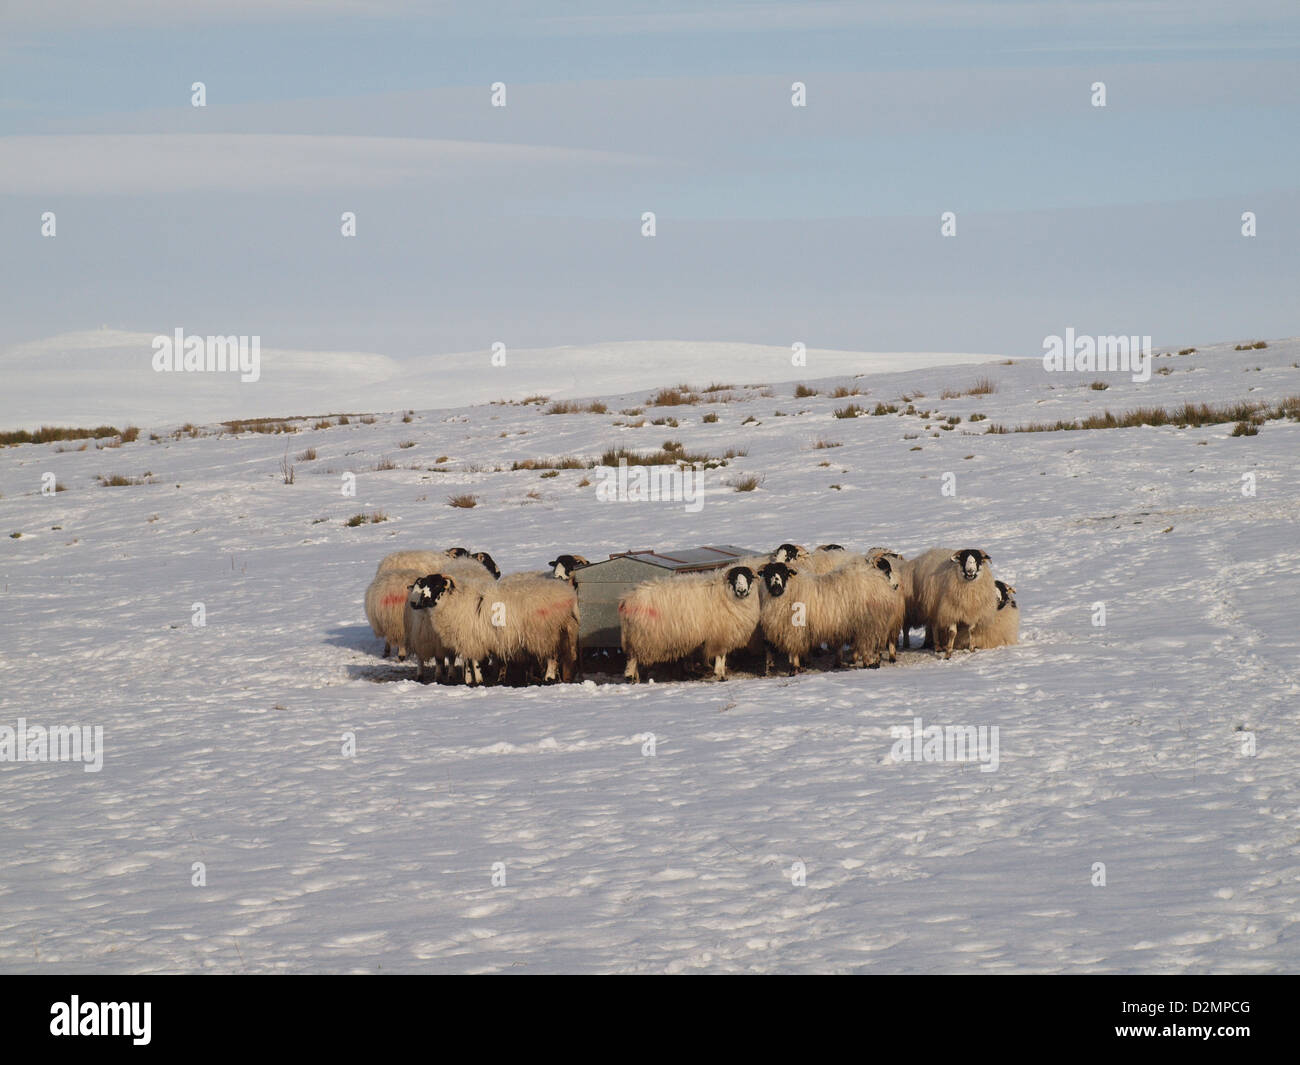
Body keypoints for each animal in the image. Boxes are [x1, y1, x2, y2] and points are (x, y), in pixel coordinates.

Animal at [424, 571, 578, 685]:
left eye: (437, 585)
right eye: (424, 585)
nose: (424, 601)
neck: (454, 600)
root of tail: (568, 594)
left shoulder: (472, 638)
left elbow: (474, 661)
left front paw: (477, 680)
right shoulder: (467, 639)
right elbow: (468, 661)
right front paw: (469, 679)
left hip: (546, 632)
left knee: (552, 655)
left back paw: (549, 677)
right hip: (557, 631)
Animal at [619, 566, 759, 683]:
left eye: (749, 577)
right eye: (734, 578)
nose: (742, 590)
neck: (726, 593)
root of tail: (627, 599)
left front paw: (720, 674)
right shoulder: (720, 634)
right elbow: (720, 655)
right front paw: (720, 675)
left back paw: (635, 678)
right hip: (640, 636)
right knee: (632, 657)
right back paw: (630, 677)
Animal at [757, 555, 898, 674]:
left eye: (784, 573)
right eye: (767, 574)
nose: (776, 589)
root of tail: (876, 577)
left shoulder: (794, 629)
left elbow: (793, 650)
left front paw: (794, 668)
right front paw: (798, 667)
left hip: (868, 623)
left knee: (868, 645)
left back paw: (870, 663)